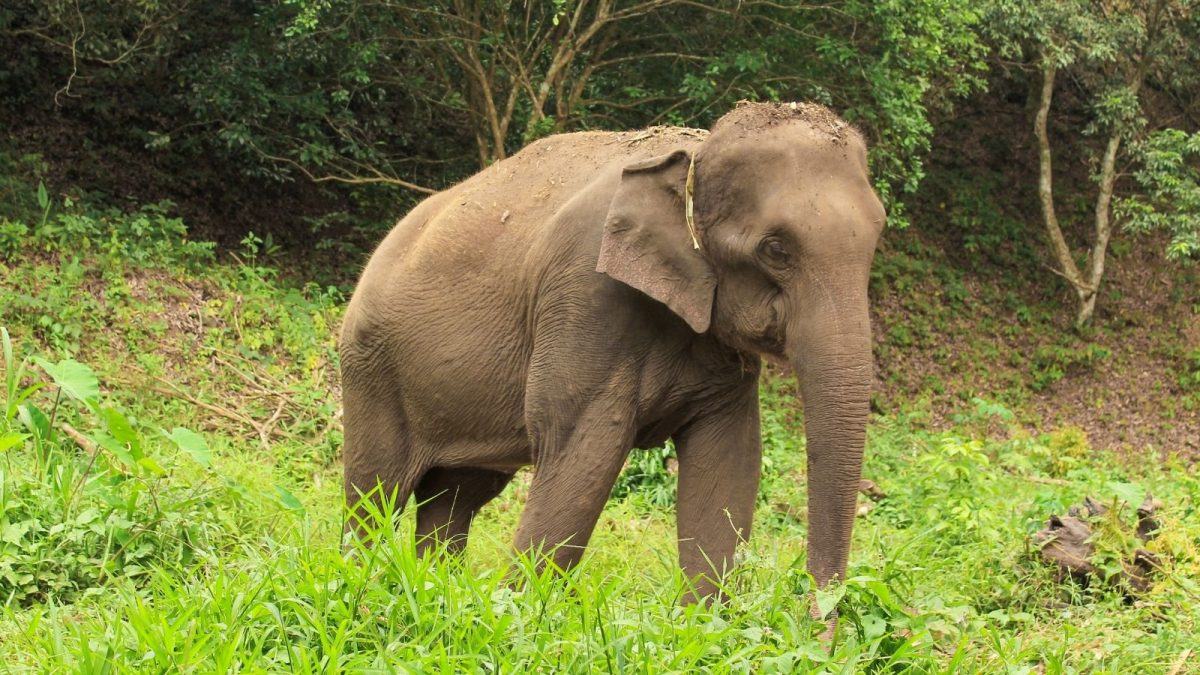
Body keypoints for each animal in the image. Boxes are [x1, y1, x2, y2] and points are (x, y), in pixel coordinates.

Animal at [340, 102, 884, 601]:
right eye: (775, 249)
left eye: (878, 235)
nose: (819, 615)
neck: (695, 152)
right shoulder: (585, 295)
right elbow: (583, 448)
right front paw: (517, 611)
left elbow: (730, 456)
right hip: (371, 371)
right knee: (375, 494)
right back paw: (361, 584)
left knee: (455, 497)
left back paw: (435, 588)